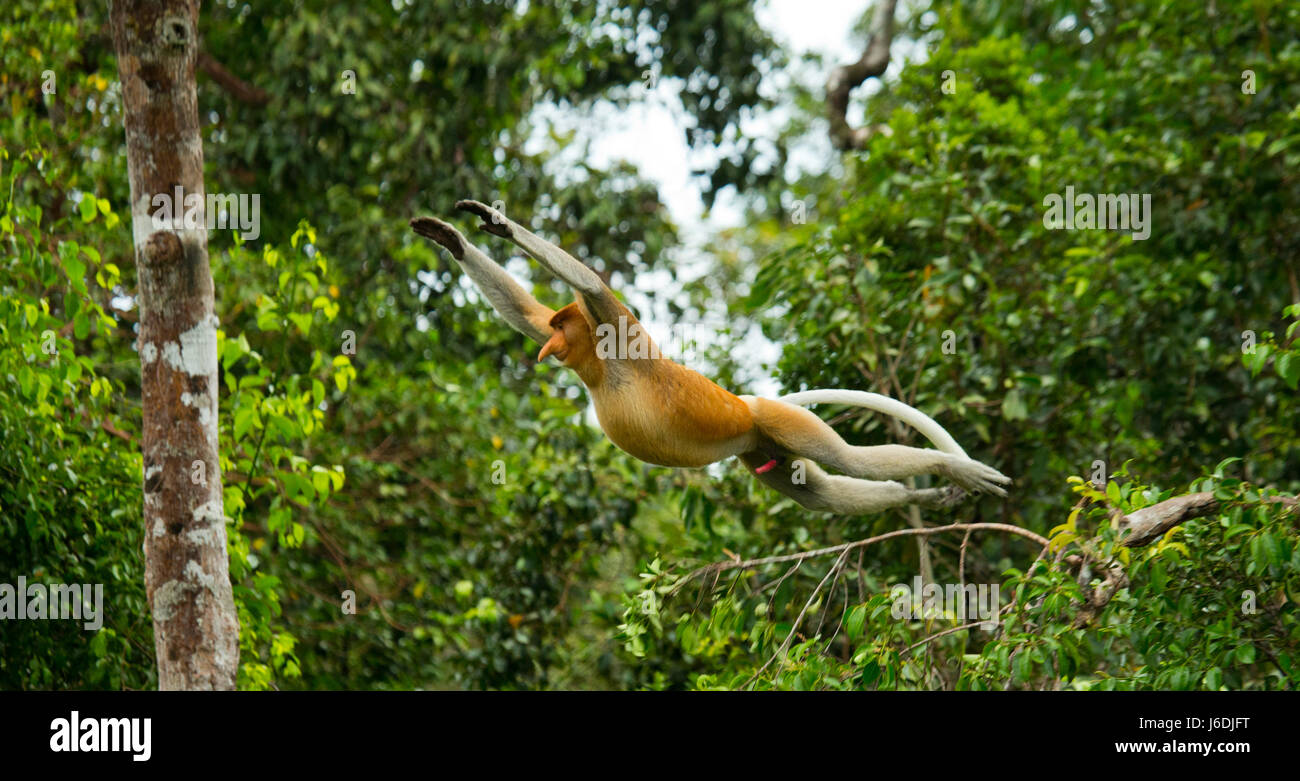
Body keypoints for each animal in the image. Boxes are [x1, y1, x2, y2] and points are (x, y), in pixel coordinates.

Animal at [411, 200, 1010, 515]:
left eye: (562, 329)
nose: (549, 348)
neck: (602, 370)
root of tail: (747, 403)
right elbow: (523, 311)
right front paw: (450, 238)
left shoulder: (619, 331)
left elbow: (591, 284)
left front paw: (497, 222)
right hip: (760, 449)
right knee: (824, 494)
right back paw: (925, 494)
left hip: (775, 420)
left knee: (847, 460)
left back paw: (951, 471)